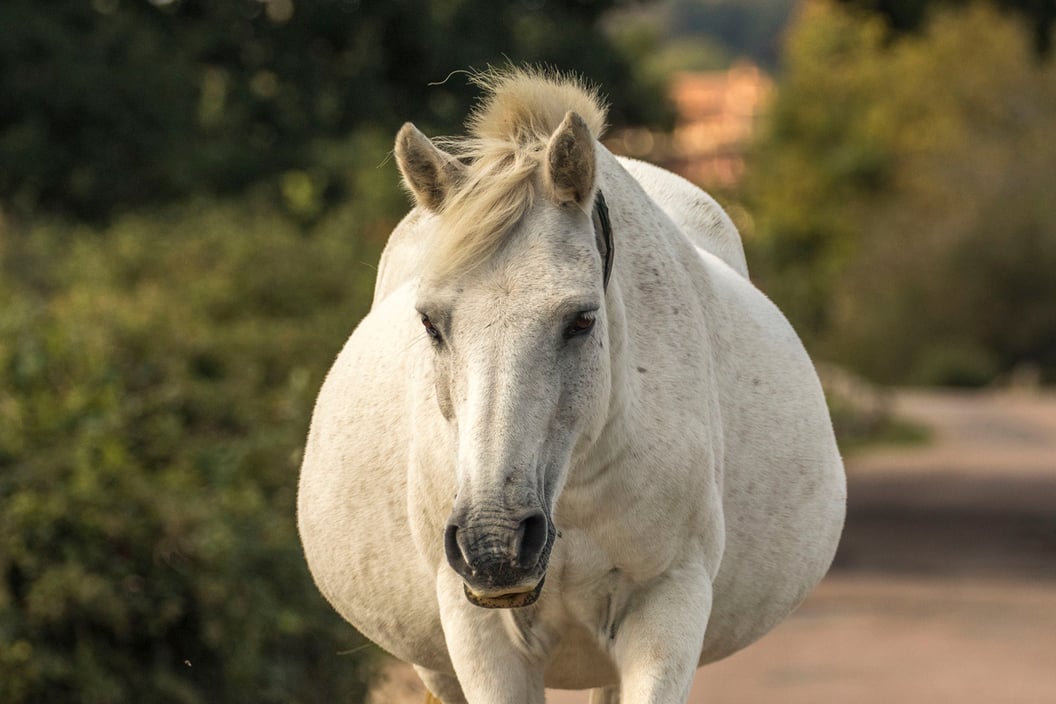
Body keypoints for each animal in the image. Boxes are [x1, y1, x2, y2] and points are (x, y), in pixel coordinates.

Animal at [297, 68, 846, 704]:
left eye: (582, 320)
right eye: (430, 323)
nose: (495, 543)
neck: (573, 490)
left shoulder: (668, 606)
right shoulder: (479, 632)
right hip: (434, 663)